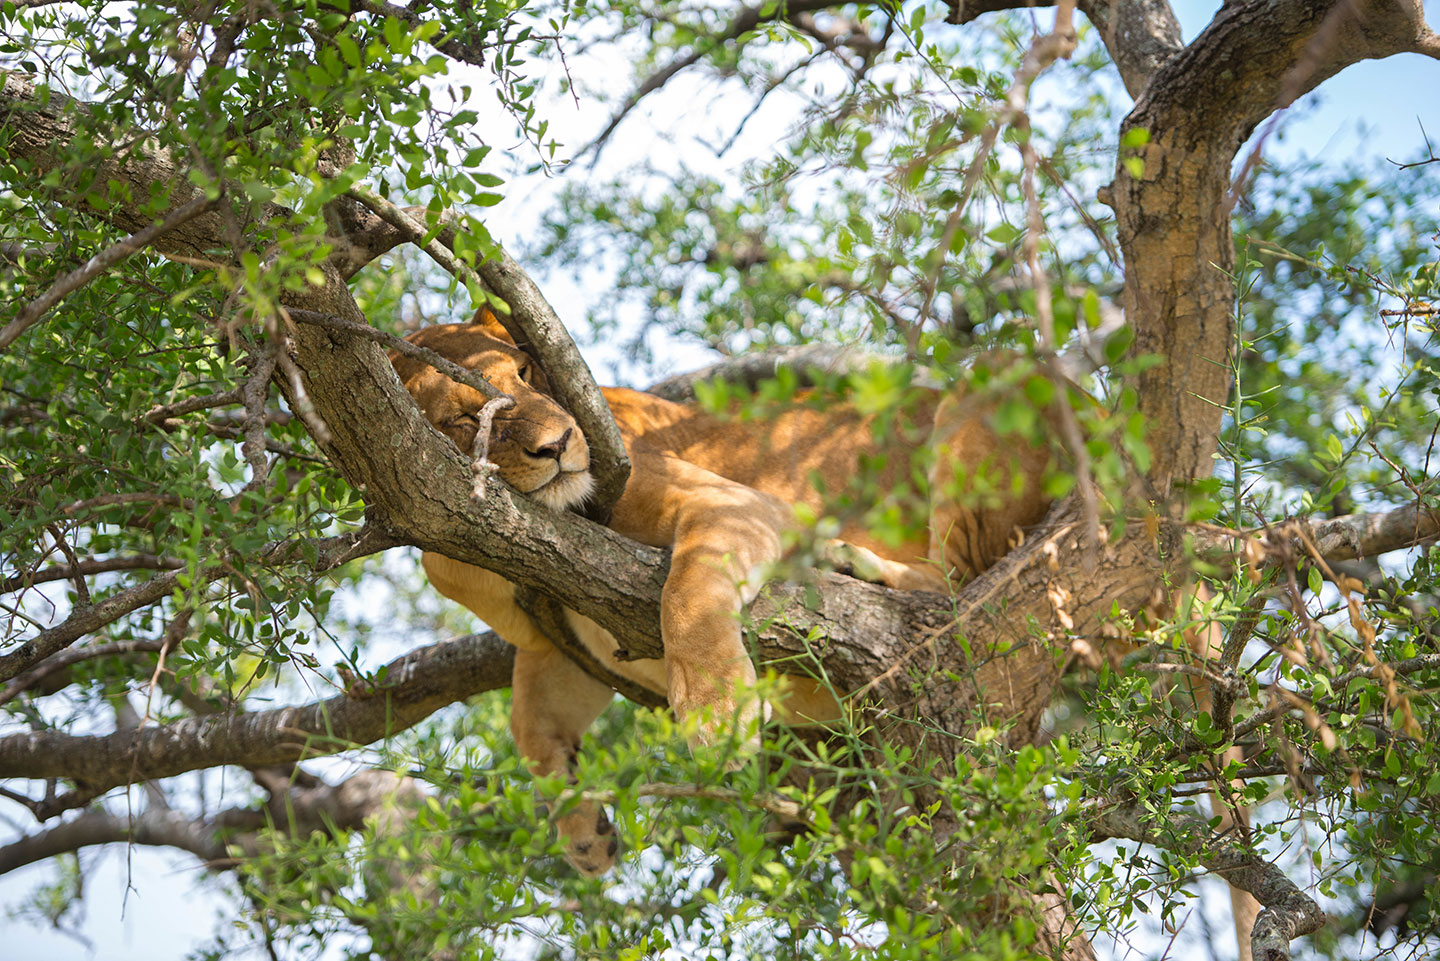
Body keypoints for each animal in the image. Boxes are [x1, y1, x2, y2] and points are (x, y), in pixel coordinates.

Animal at [390, 312, 1058, 876]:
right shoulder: (560, 645)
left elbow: (686, 597)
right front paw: (582, 833)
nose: (557, 445)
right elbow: (529, 727)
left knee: (959, 582)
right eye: (466, 418)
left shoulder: (730, 502)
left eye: (525, 373)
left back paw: (856, 565)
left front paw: (720, 717)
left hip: (1000, 378)